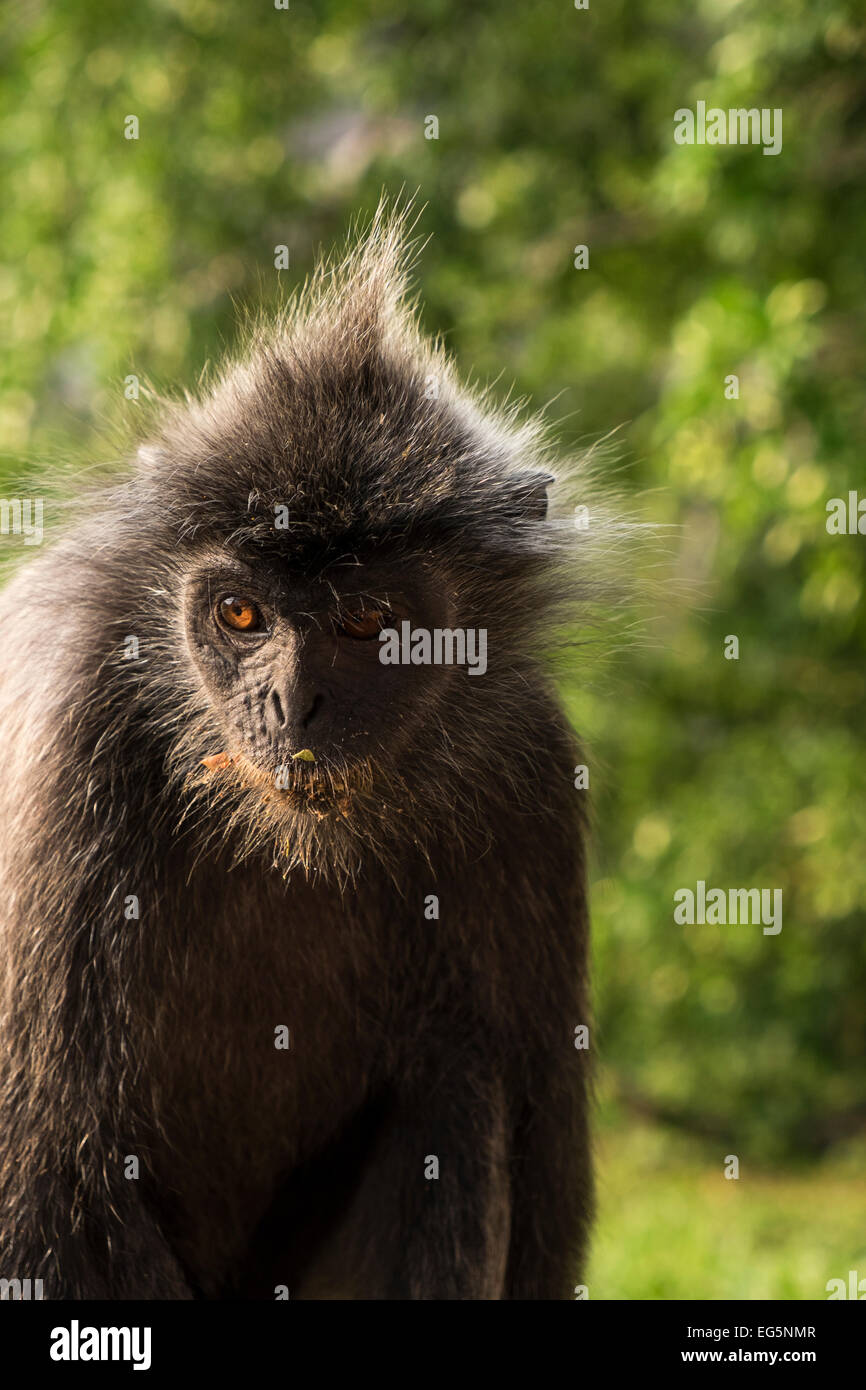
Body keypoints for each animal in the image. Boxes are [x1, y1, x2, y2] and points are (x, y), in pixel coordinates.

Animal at [0, 208, 594, 1301]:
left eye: (366, 624)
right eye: (242, 614)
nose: (291, 704)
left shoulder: (532, 768)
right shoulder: (76, 730)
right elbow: (49, 1172)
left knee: (458, 1080)